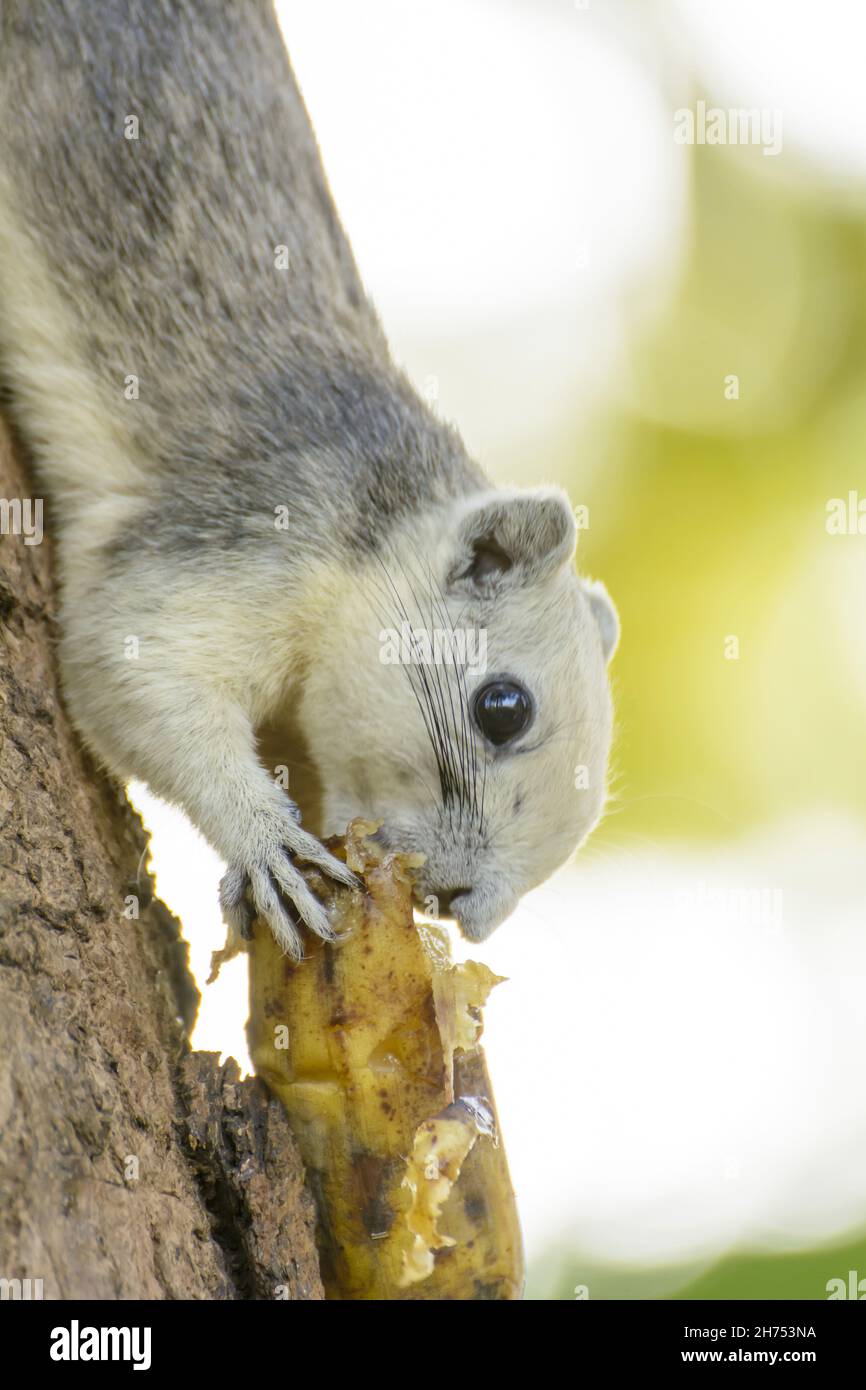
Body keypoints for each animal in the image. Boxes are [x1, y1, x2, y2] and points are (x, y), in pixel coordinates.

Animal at [0, 0, 618, 957]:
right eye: (503, 707)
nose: (462, 906)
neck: (373, 528)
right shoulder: (249, 535)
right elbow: (131, 667)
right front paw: (267, 844)